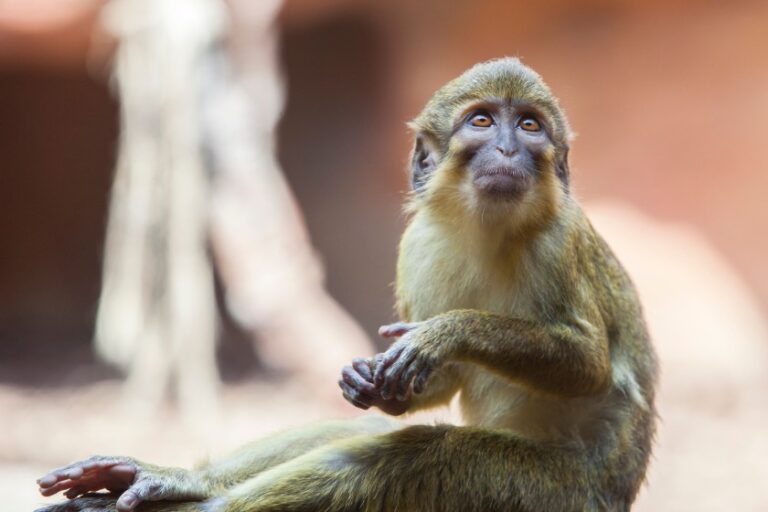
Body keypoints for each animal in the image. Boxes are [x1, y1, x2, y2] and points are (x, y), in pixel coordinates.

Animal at [35, 57, 657, 512]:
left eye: (529, 126)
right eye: (482, 122)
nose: (508, 149)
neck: (491, 226)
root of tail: (613, 498)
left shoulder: (558, 241)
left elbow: (587, 365)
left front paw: (446, 333)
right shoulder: (416, 246)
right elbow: (435, 381)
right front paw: (367, 379)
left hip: (548, 491)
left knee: (414, 453)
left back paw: (212, 503)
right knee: (354, 437)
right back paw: (185, 482)